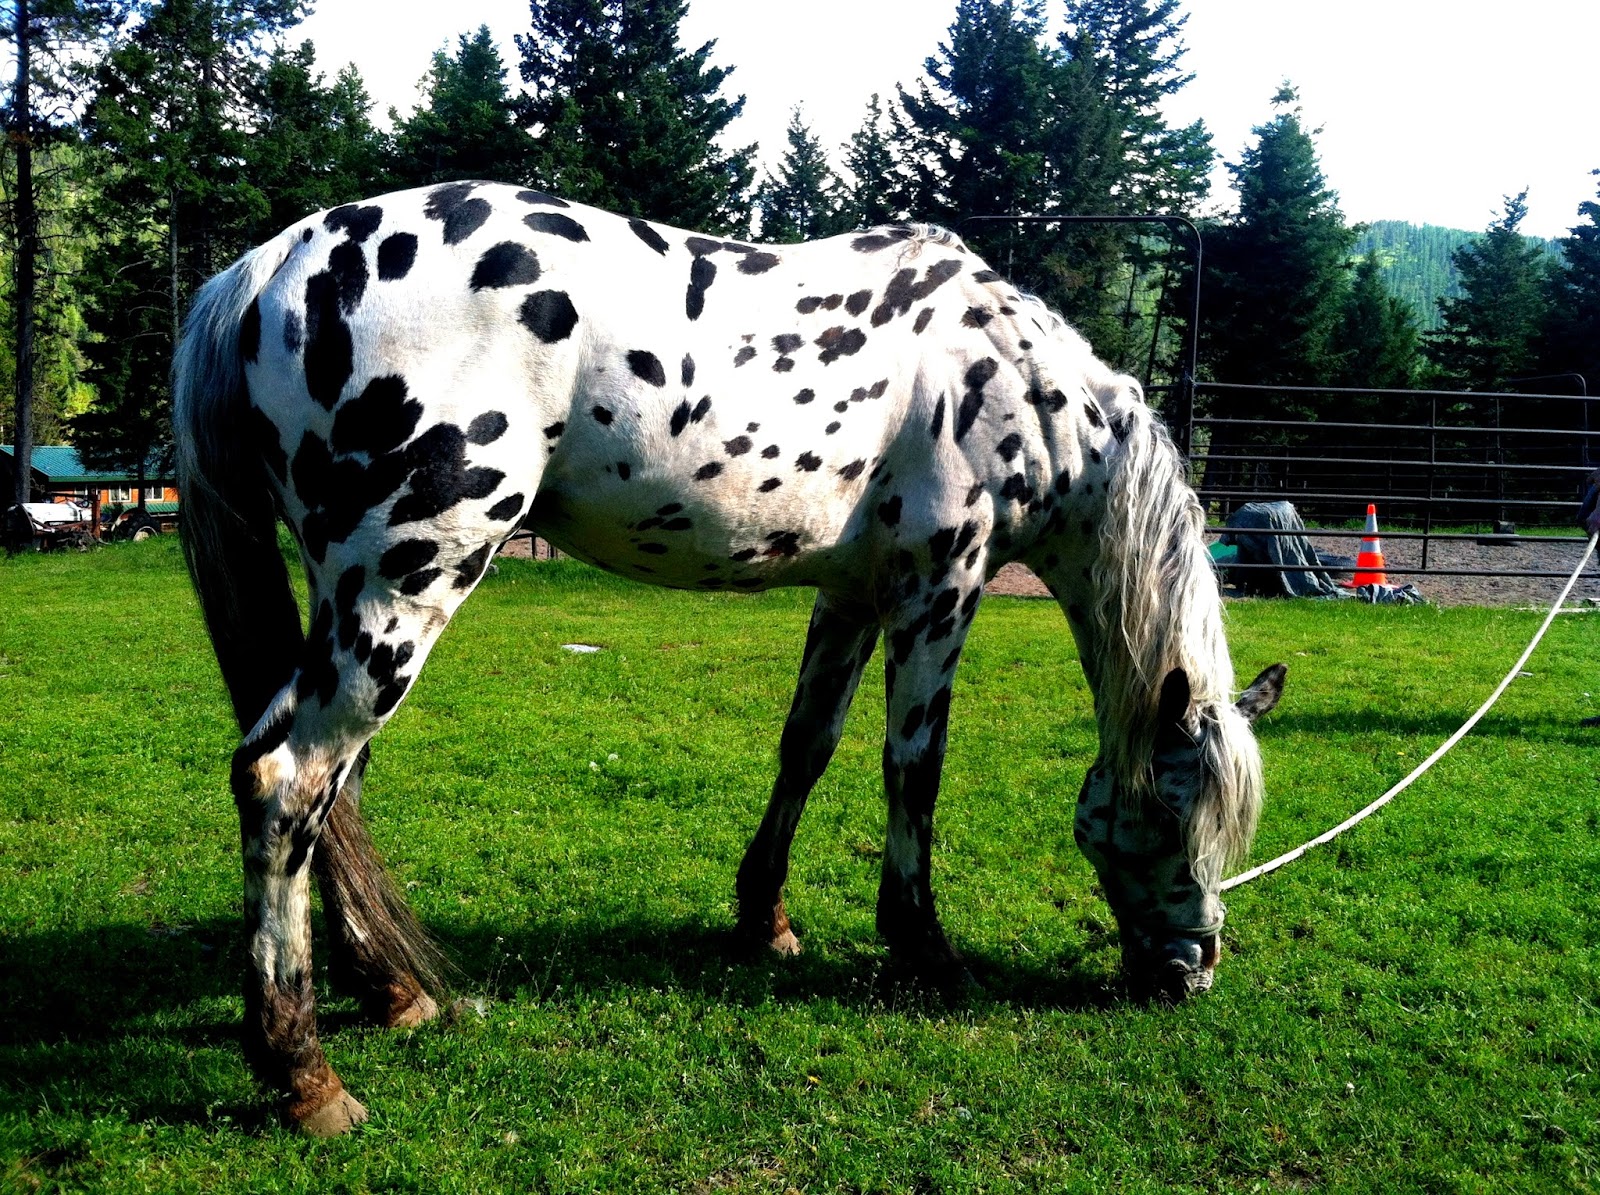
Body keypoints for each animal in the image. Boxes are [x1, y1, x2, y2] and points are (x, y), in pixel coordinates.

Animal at [174, 181, 1284, 1135]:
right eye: (1174, 813)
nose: (1190, 972)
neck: (1012, 377)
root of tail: (271, 264)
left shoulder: (851, 595)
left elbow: (808, 746)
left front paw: (766, 918)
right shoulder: (941, 589)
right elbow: (912, 773)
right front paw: (923, 948)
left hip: (355, 603)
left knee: (334, 795)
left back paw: (390, 991)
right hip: (401, 590)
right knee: (287, 782)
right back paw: (304, 1072)